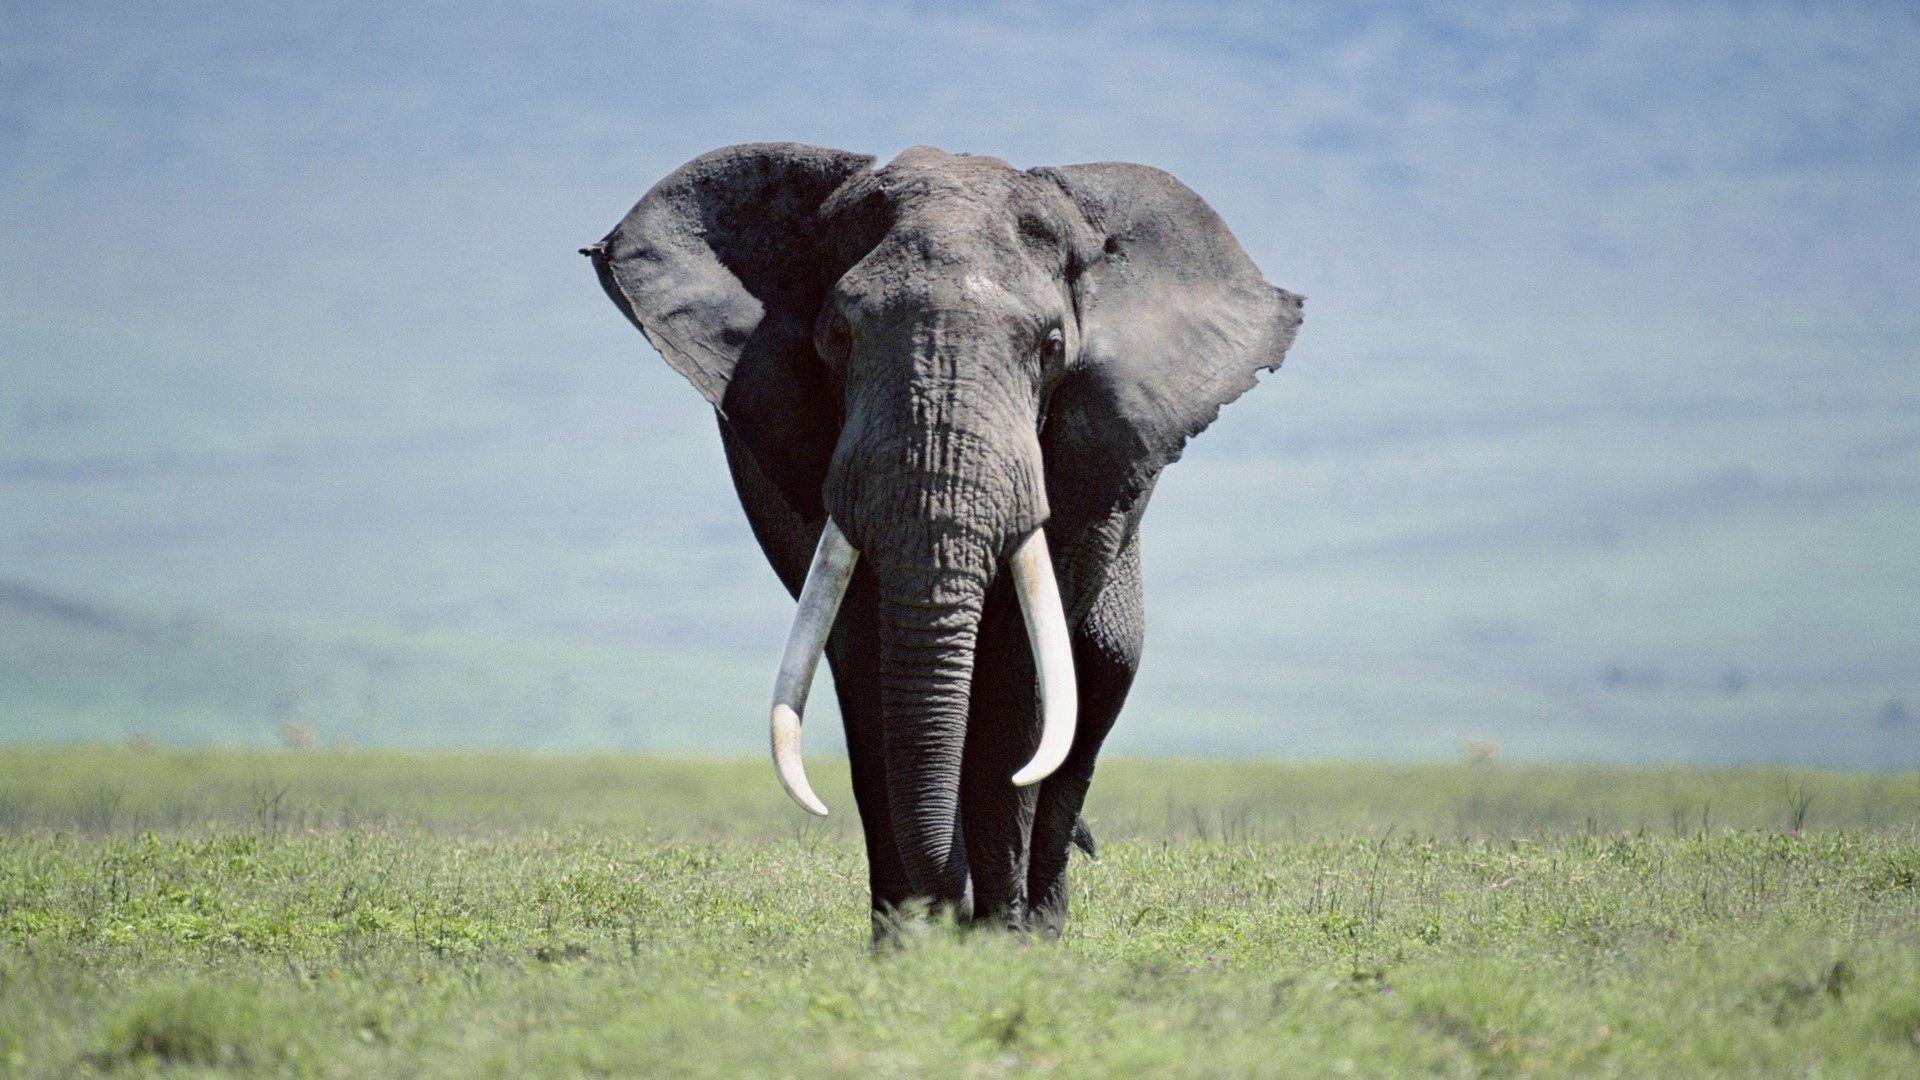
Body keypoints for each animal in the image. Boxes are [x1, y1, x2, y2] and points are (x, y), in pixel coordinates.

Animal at [584, 143, 1302, 935]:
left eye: (1051, 347)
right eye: (837, 337)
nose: (953, 911)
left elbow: (1020, 667)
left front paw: (998, 941)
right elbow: (863, 653)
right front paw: (910, 939)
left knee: (1104, 672)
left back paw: (1042, 925)